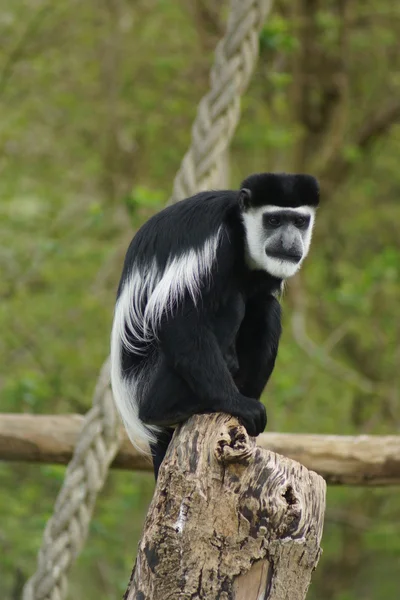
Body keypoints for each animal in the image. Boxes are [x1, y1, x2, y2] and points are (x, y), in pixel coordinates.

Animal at [109, 172, 318, 478]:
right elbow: (174, 316)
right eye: (274, 220)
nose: (289, 241)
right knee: (224, 302)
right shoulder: (215, 241)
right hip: (148, 380)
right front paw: (237, 404)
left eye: (299, 221)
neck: (240, 228)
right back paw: (167, 409)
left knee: (266, 308)